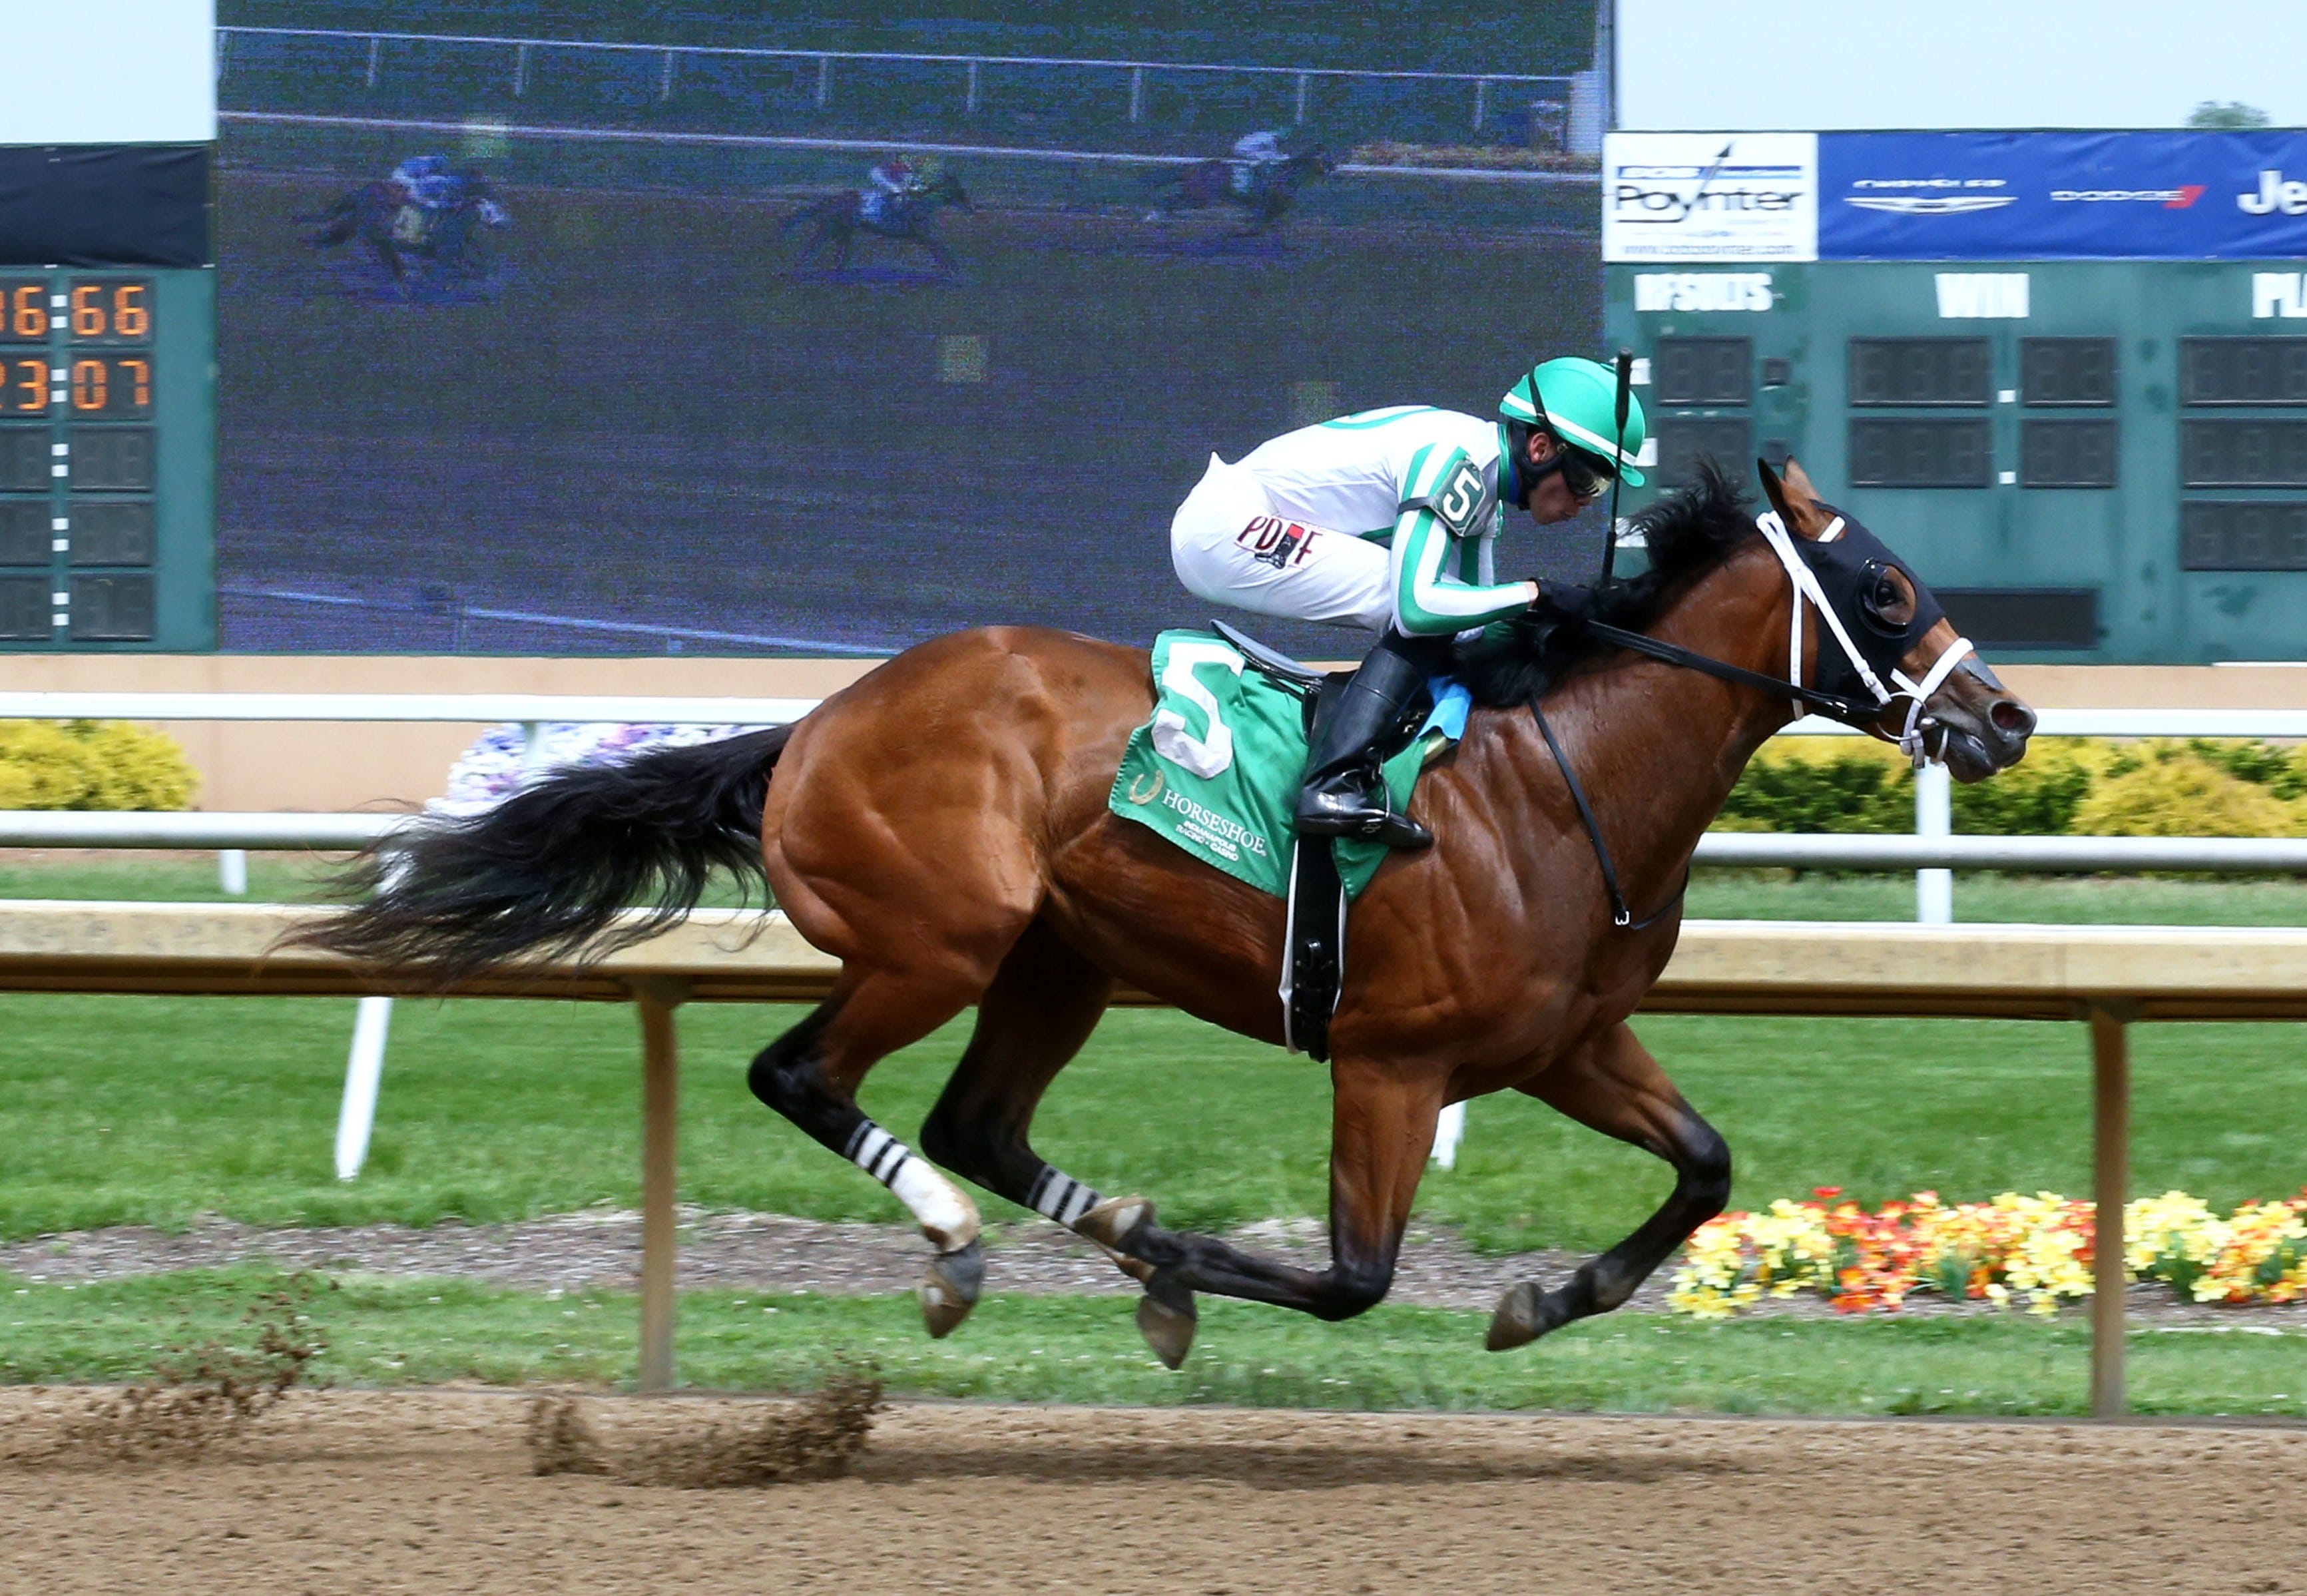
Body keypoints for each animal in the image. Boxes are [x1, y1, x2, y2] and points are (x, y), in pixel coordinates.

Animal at [293, 458, 2035, 1367]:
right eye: (1885, 592)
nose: (2006, 719)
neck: (1563, 782)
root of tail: (817, 724)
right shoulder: (1391, 1062)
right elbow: (1351, 1273)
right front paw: (1178, 1266)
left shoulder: (1564, 1044)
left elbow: (1705, 1167)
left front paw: (1543, 1299)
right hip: (940, 938)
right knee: (805, 1076)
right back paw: (959, 1247)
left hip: (1058, 961)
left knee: (978, 1119)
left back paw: (1060, 1222)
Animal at [305, 178, 510, 294]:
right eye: (491, 210)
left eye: (501, 207)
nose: (505, 222)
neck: (457, 222)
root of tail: (360, 193)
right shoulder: (444, 254)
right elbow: (469, 270)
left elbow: (478, 265)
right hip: (373, 233)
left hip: (359, 229)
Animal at [782, 174, 974, 275]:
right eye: (960, 192)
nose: (971, 208)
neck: (923, 203)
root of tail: (831, 200)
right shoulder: (923, 235)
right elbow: (941, 249)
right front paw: (953, 269)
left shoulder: (921, 236)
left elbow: (940, 251)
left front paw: (951, 269)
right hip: (830, 229)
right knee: (812, 247)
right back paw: (796, 269)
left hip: (844, 232)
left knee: (840, 256)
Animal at [1143, 151, 1334, 232]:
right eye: (1324, 161)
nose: (1334, 167)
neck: (1285, 176)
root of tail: (1194, 169)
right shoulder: (1273, 203)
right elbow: (1265, 217)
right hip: (1199, 196)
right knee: (1171, 201)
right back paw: (1155, 216)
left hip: (1195, 194)